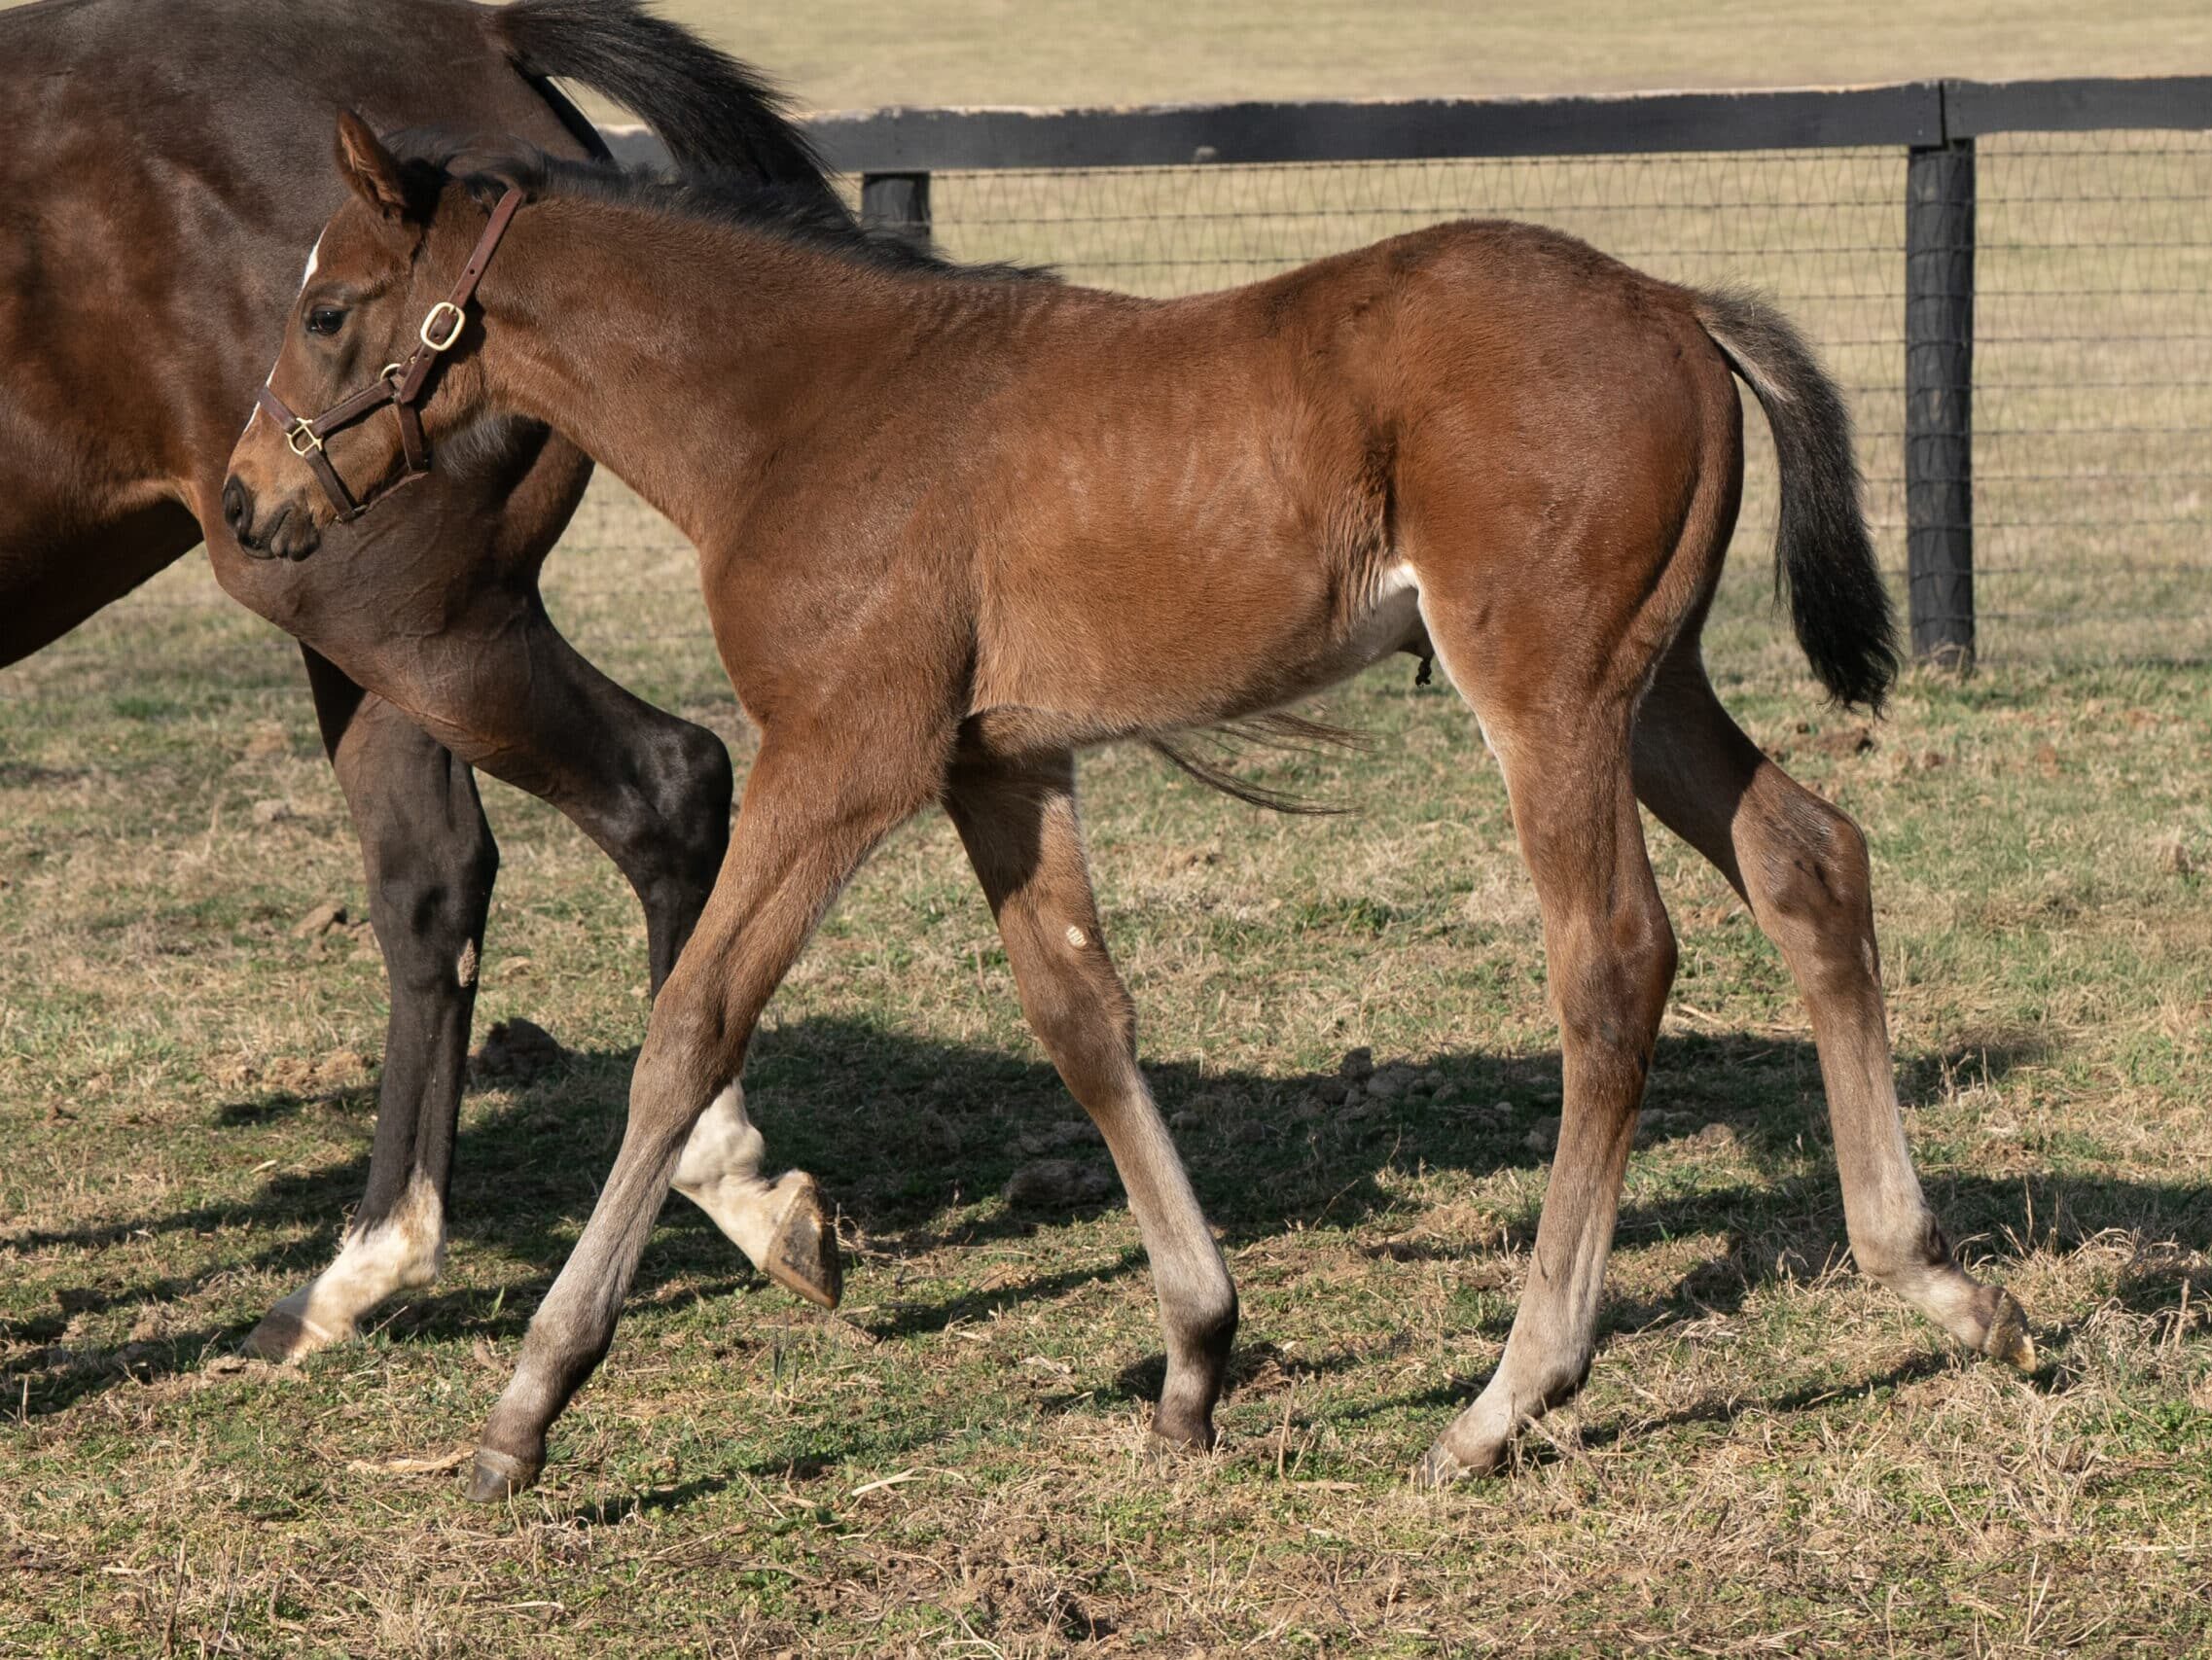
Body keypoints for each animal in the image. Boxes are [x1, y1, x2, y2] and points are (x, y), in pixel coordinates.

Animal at [0, 0, 840, 1365]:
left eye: (327, 314)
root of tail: (473, 28)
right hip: (367, 632)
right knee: (434, 887)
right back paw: (360, 1271)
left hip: (399, 622)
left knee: (666, 786)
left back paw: (727, 1175)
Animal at [223, 120, 2039, 1502]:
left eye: (330, 312)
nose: (248, 500)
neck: (802, 407)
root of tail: (1669, 302)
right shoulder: (1000, 763)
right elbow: (1081, 1017)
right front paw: (1193, 1357)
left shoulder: (843, 756)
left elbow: (690, 1027)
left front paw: (527, 1403)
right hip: (1647, 687)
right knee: (1808, 861)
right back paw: (1941, 1282)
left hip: (1549, 689)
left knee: (1611, 963)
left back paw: (1506, 1395)